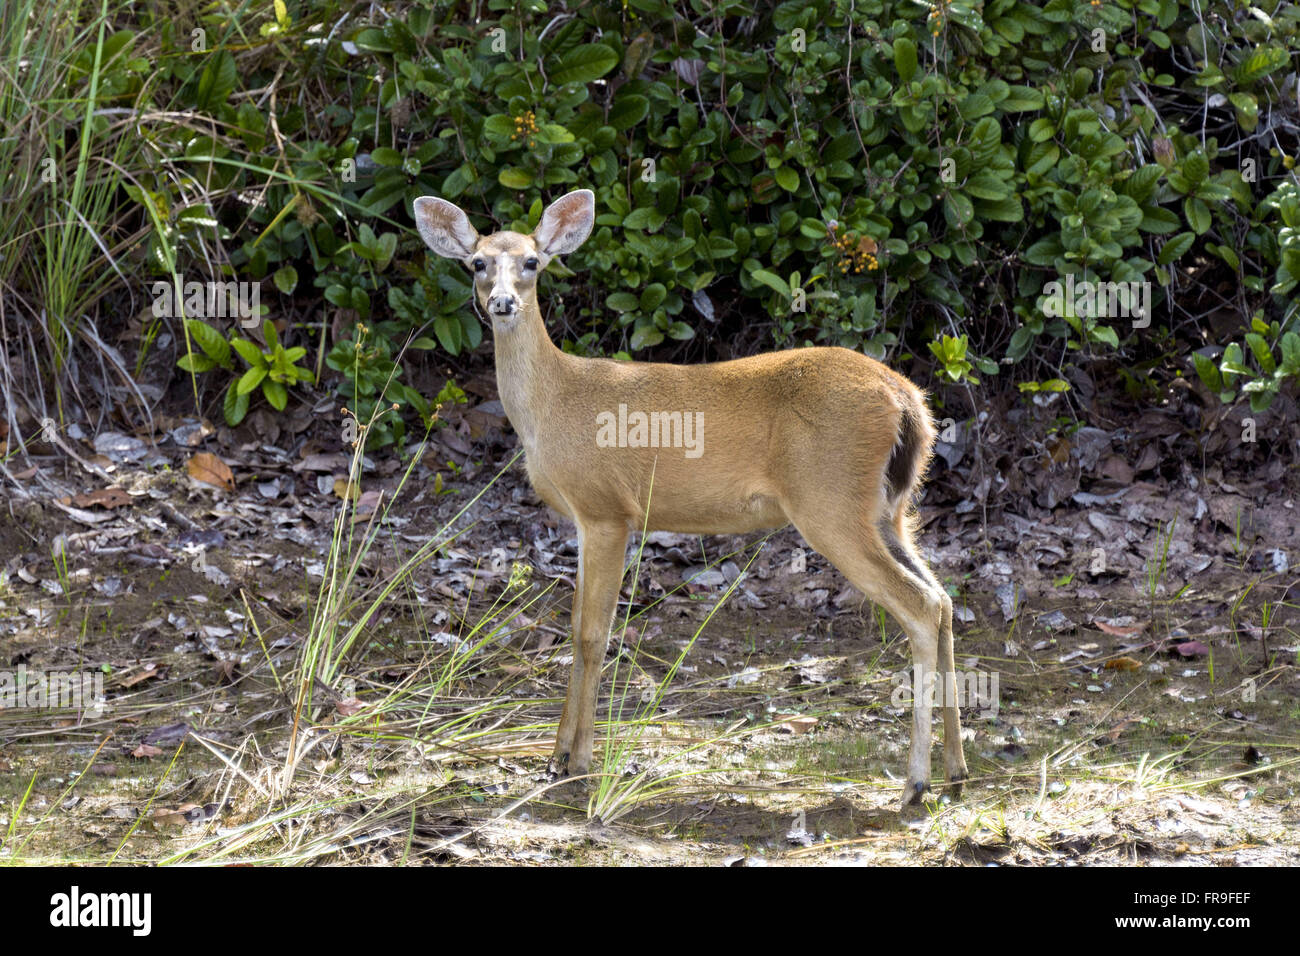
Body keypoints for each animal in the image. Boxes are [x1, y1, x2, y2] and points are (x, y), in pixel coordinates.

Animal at [413, 189, 968, 809]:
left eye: (533, 261)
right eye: (477, 263)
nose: (504, 302)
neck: (553, 403)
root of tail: (908, 399)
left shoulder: (608, 509)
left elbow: (592, 634)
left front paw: (578, 762)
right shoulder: (582, 519)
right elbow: (575, 624)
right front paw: (556, 755)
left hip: (831, 500)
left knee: (920, 606)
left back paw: (915, 783)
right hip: (892, 508)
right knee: (944, 599)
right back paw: (956, 770)